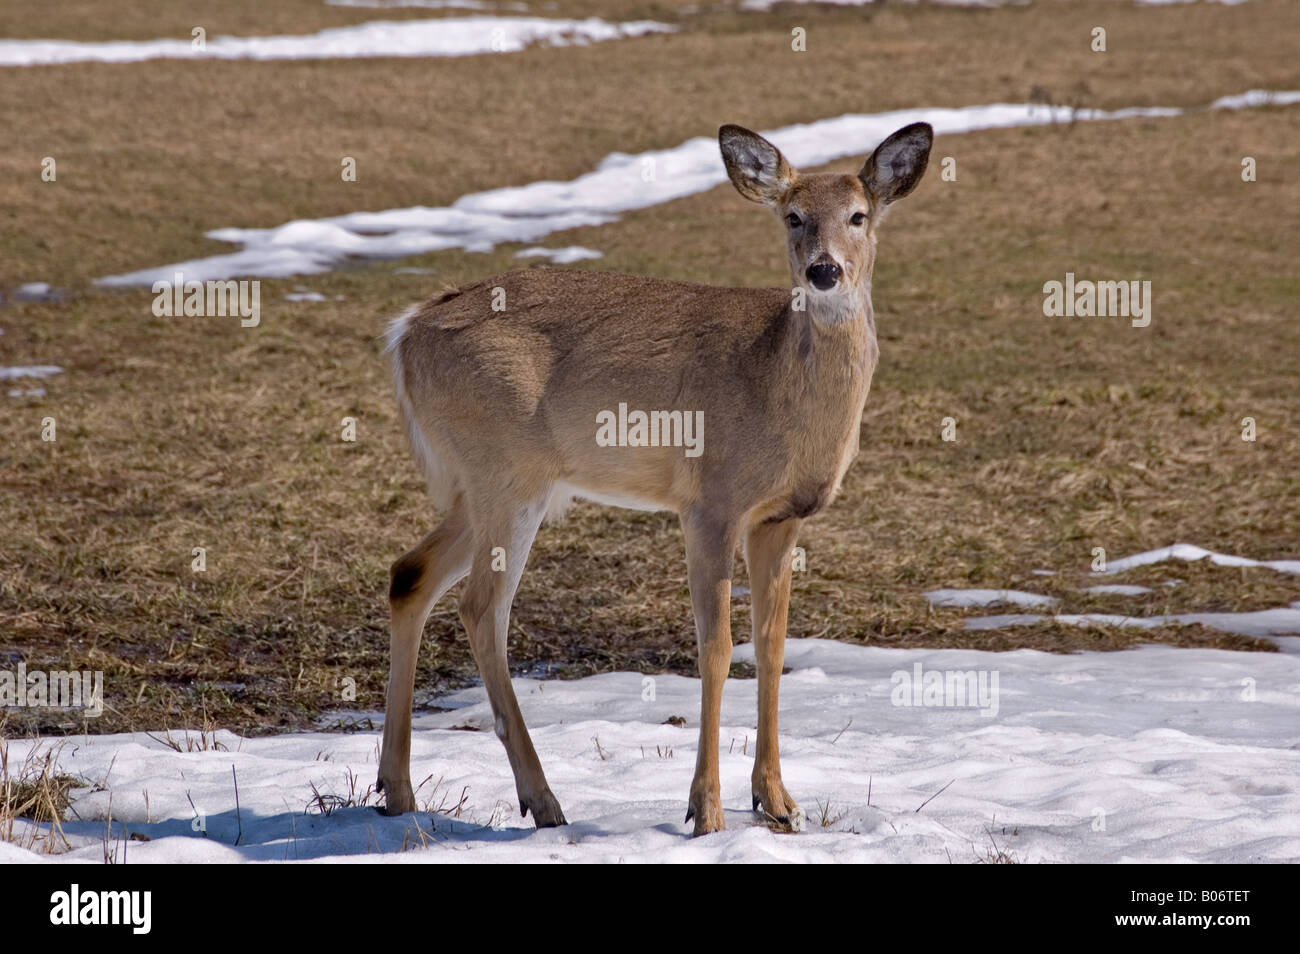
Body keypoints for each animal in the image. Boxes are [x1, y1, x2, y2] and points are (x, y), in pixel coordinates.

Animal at [377, 120, 932, 836]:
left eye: (860, 215)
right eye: (793, 216)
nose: (824, 270)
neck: (778, 382)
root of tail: (404, 333)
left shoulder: (781, 517)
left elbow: (772, 647)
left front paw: (779, 802)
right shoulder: (710, 502)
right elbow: (717, 649)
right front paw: (706, 810)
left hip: (492, 483)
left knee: (411, 574)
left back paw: (397, 791)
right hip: (507, 470)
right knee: (481, 607)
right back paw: (543, 799)